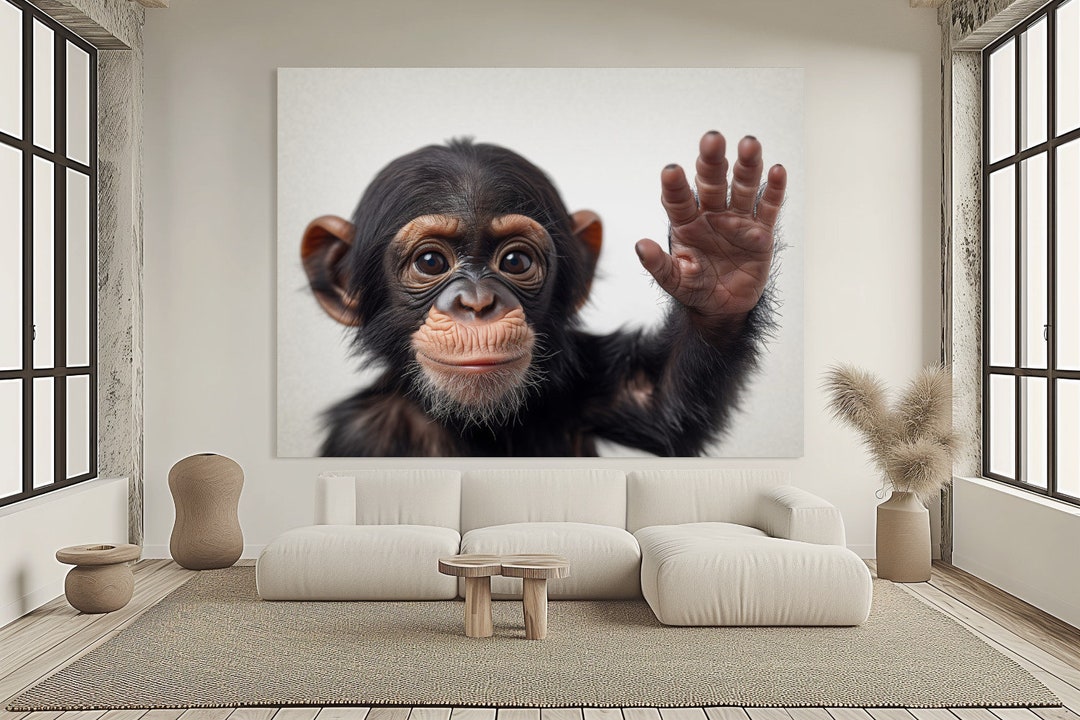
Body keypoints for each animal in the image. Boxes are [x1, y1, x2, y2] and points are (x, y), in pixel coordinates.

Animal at [300, 130, 786, 456]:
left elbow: (659, 400)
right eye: (431, 263)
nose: (477, 303)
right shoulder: (360, 438)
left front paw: (720, 255)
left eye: (515, 262)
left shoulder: (583, 380)